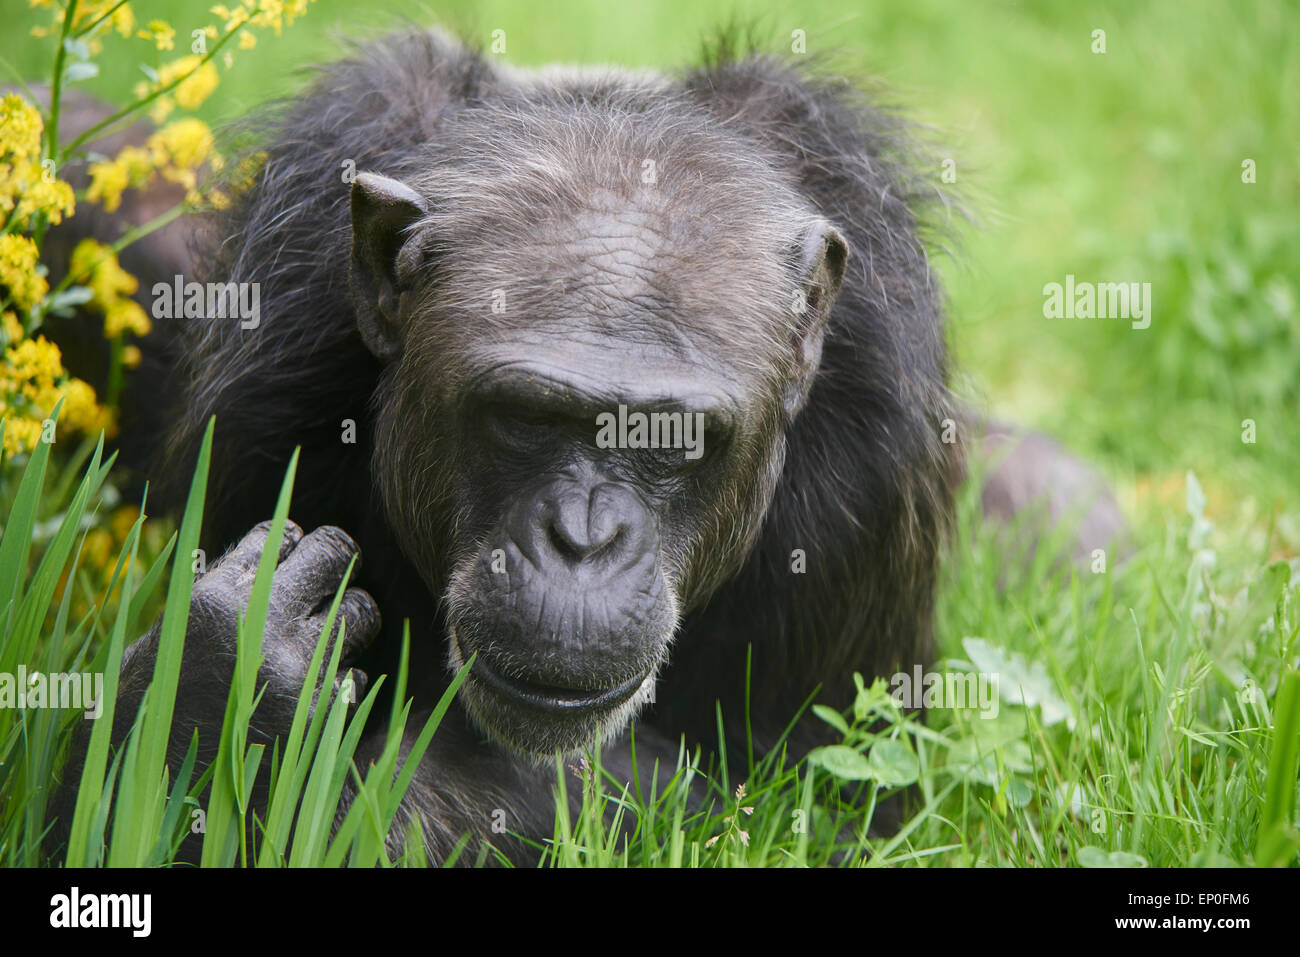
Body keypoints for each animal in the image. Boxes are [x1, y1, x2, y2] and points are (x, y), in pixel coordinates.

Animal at [48, 27, 1123, 864]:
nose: (583, 537)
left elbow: (813, 794)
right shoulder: (277, 363)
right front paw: (213, 679)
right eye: (525, 414)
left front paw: (245, 694)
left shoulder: (868, 471)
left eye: (676, 439)